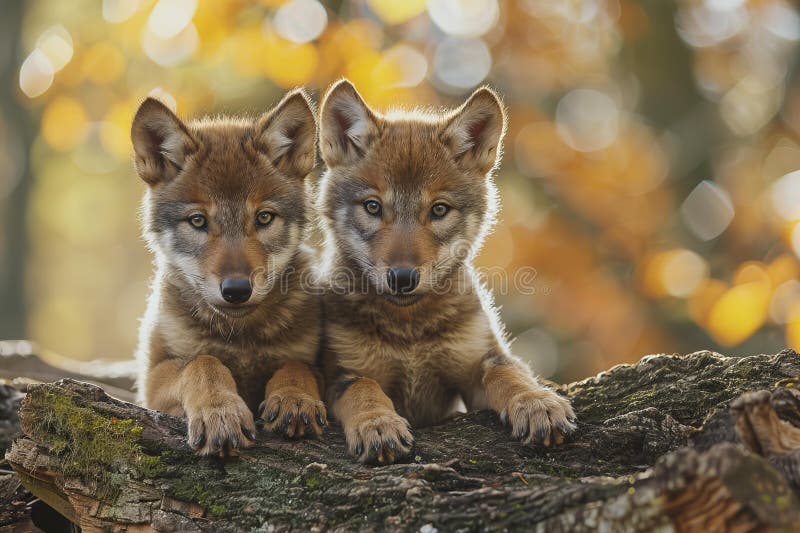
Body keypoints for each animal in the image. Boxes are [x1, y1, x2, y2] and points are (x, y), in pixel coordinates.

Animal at [131, 90, 326, 456]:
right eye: (197, 221)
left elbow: (296, 366)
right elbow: (203, 364)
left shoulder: (315, 361)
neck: (241, 338)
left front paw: (295, 399)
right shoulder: (154, 378)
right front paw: (220, 414)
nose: (236, 290)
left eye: (264, 218)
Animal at [316, 80, 576, 464]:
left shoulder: (480, 363)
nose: (403, 278)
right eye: (373, 207)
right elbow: (364, 388)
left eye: (439, 210)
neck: (410, 333)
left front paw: (537, 405)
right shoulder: (341, 375)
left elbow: (509, 375)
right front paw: (377, 426)